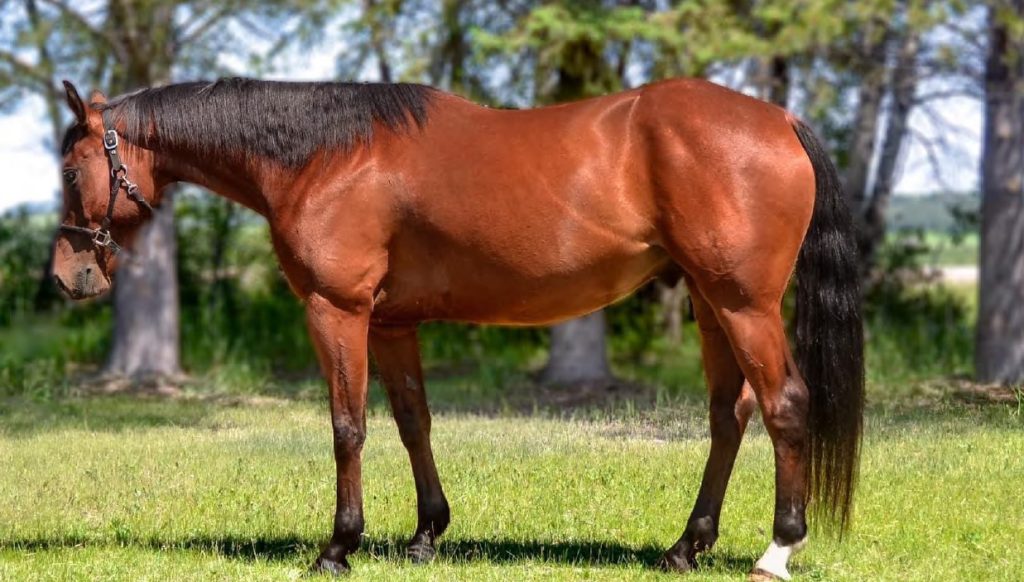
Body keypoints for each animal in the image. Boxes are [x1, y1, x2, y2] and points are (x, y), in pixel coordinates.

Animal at [52, 77, 863, 580]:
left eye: (68, 168)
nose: (68, 277)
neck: (324, 158)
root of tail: (779, 119)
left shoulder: (336, 310)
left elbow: (347, 426)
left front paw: (338, 547)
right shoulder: (391, 322)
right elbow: (413, 421)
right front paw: (425, 535)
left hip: (743, 304)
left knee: (784, 406)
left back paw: (776, 551)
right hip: (709, 302)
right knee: (730, 415)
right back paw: (685, 548)